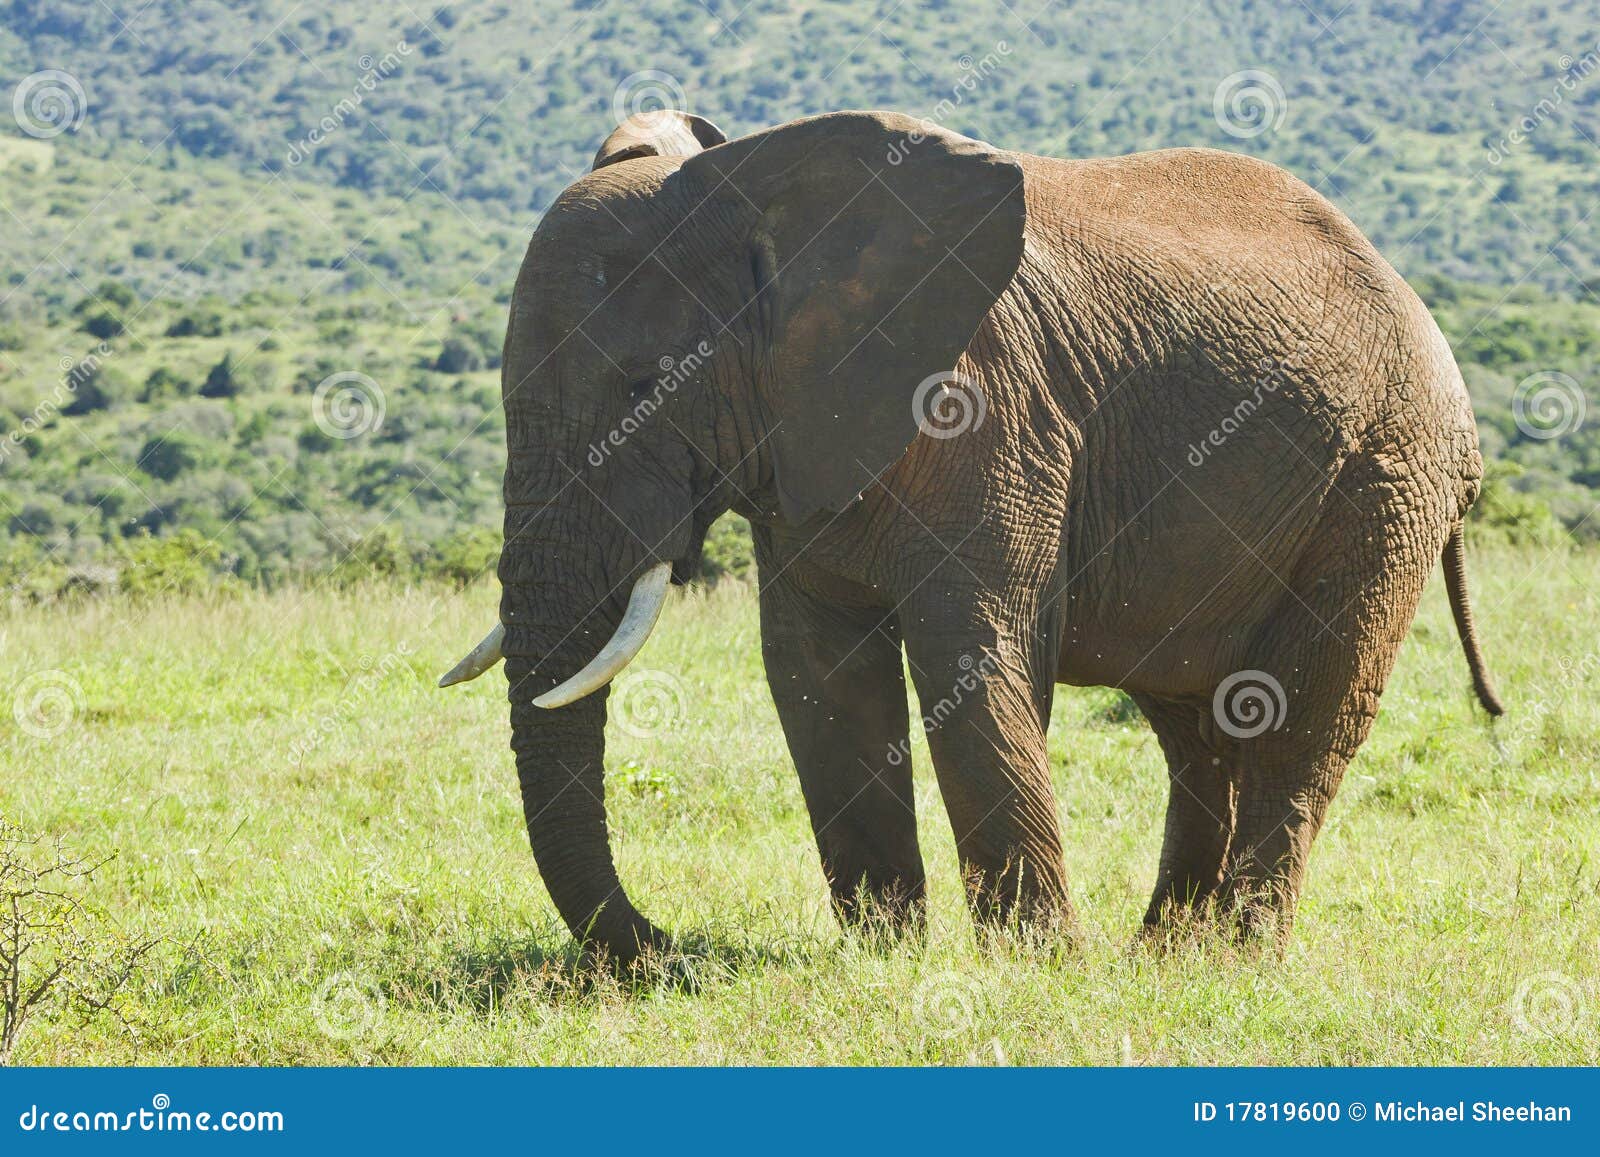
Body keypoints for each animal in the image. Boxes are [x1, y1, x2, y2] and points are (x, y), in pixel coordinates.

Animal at [440, 108, 1502, 964]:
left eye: (645, 386)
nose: (674, 950)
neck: (760, 194)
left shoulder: (988, 412)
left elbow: (972, 647)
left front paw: (1035, 965)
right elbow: (813, 668)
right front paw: (886, 954)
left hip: (1385, 477)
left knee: (1304, 715)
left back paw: (1234, 960)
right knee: (1198, 725)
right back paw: (1162, 956)